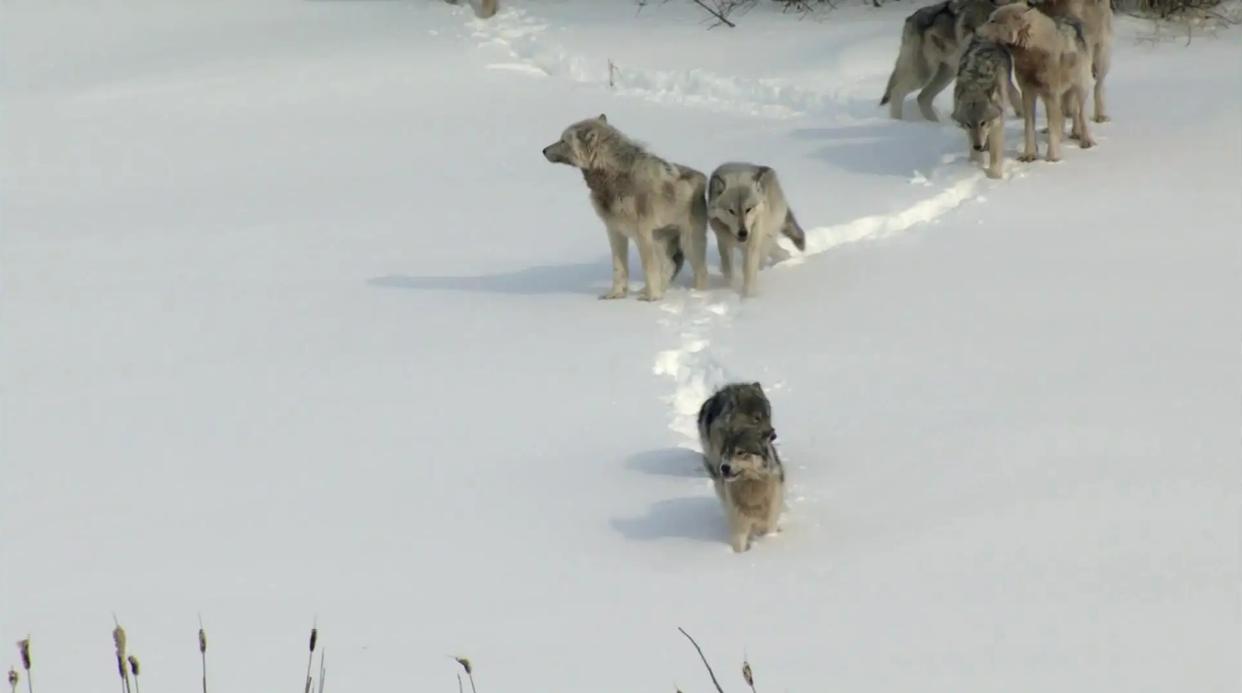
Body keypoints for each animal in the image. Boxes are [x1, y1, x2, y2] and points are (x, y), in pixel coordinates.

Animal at [542, 115, 709, 301]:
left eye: (563, 140)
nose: (543, 150)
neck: (612, 178)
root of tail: (702, 177)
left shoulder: (642, 234)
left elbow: (648, 268)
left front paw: (651, 298)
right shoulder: (614, 231)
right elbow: (619, 268)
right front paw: (615, 295)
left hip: (689, 242)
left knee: (701, 271)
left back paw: (698, 294)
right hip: (660, 240)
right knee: (669, 266)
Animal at [706, 163, 806, 297]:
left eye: (748, 209)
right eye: (731, 211)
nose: (743, 232)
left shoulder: (752, 245)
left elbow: (749, 271)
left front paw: (748, 297)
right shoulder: (723, 243)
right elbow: (728, 271)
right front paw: (731, 287)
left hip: (765, 239)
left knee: (766, 257)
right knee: (781, 252)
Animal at [879, 0, 1022, 121]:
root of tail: (910, 18)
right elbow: (1014, 95)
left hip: (946, 75)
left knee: (922, 98)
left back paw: (934, 125)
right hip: (924, 74)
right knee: (897, 91)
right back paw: (898, 123)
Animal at [952, 37, 1012, 179]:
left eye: (983, 122)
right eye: (968, 124)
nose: (978, 146)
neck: (975, 81)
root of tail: (986, 40)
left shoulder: (997, 125)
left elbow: (995, 154)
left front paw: (994, 176)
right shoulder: (969, 132)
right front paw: (973, 166)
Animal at [980, 5, 1095, 162]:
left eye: (993, 21)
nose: (975, 32)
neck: (1032, 55)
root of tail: (1072, 19)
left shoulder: (1051, 94)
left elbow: (1053, 127)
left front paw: (1052, 158)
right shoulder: (1028, 93)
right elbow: (1029, 127)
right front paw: (1029, 155)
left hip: (1080, 89)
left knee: (1080, 113)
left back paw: (1085, 140)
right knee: (1066, 113)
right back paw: (1069, 134)